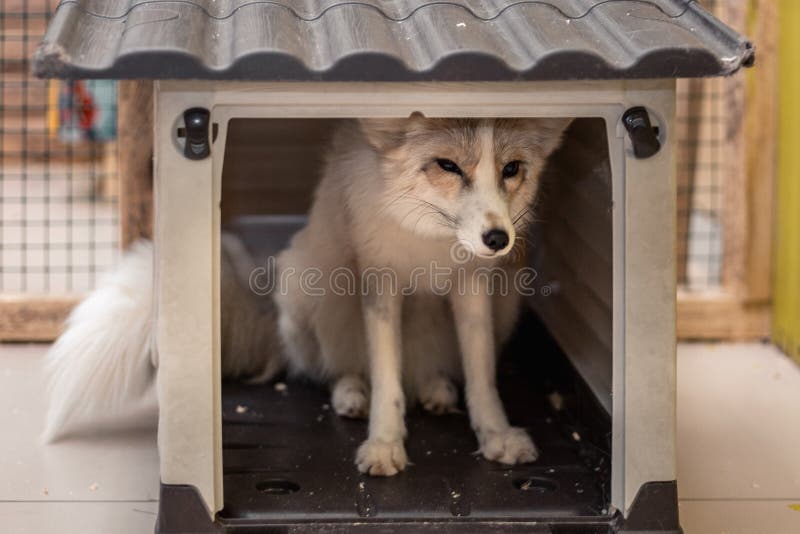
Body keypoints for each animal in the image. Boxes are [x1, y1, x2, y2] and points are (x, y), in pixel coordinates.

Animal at [43, 115, 570, 476]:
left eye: (512, 169)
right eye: (448, 166)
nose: (497, 239)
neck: (429, 245)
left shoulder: (474, 287)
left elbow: (482, 379)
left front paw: (496, 435)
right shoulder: (379, 280)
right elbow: (386, 378)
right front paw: (384, 441)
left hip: (506, 304)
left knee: (429, 371)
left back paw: (435, 388)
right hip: (312, 287)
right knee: (332, 370)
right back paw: (352, 394)